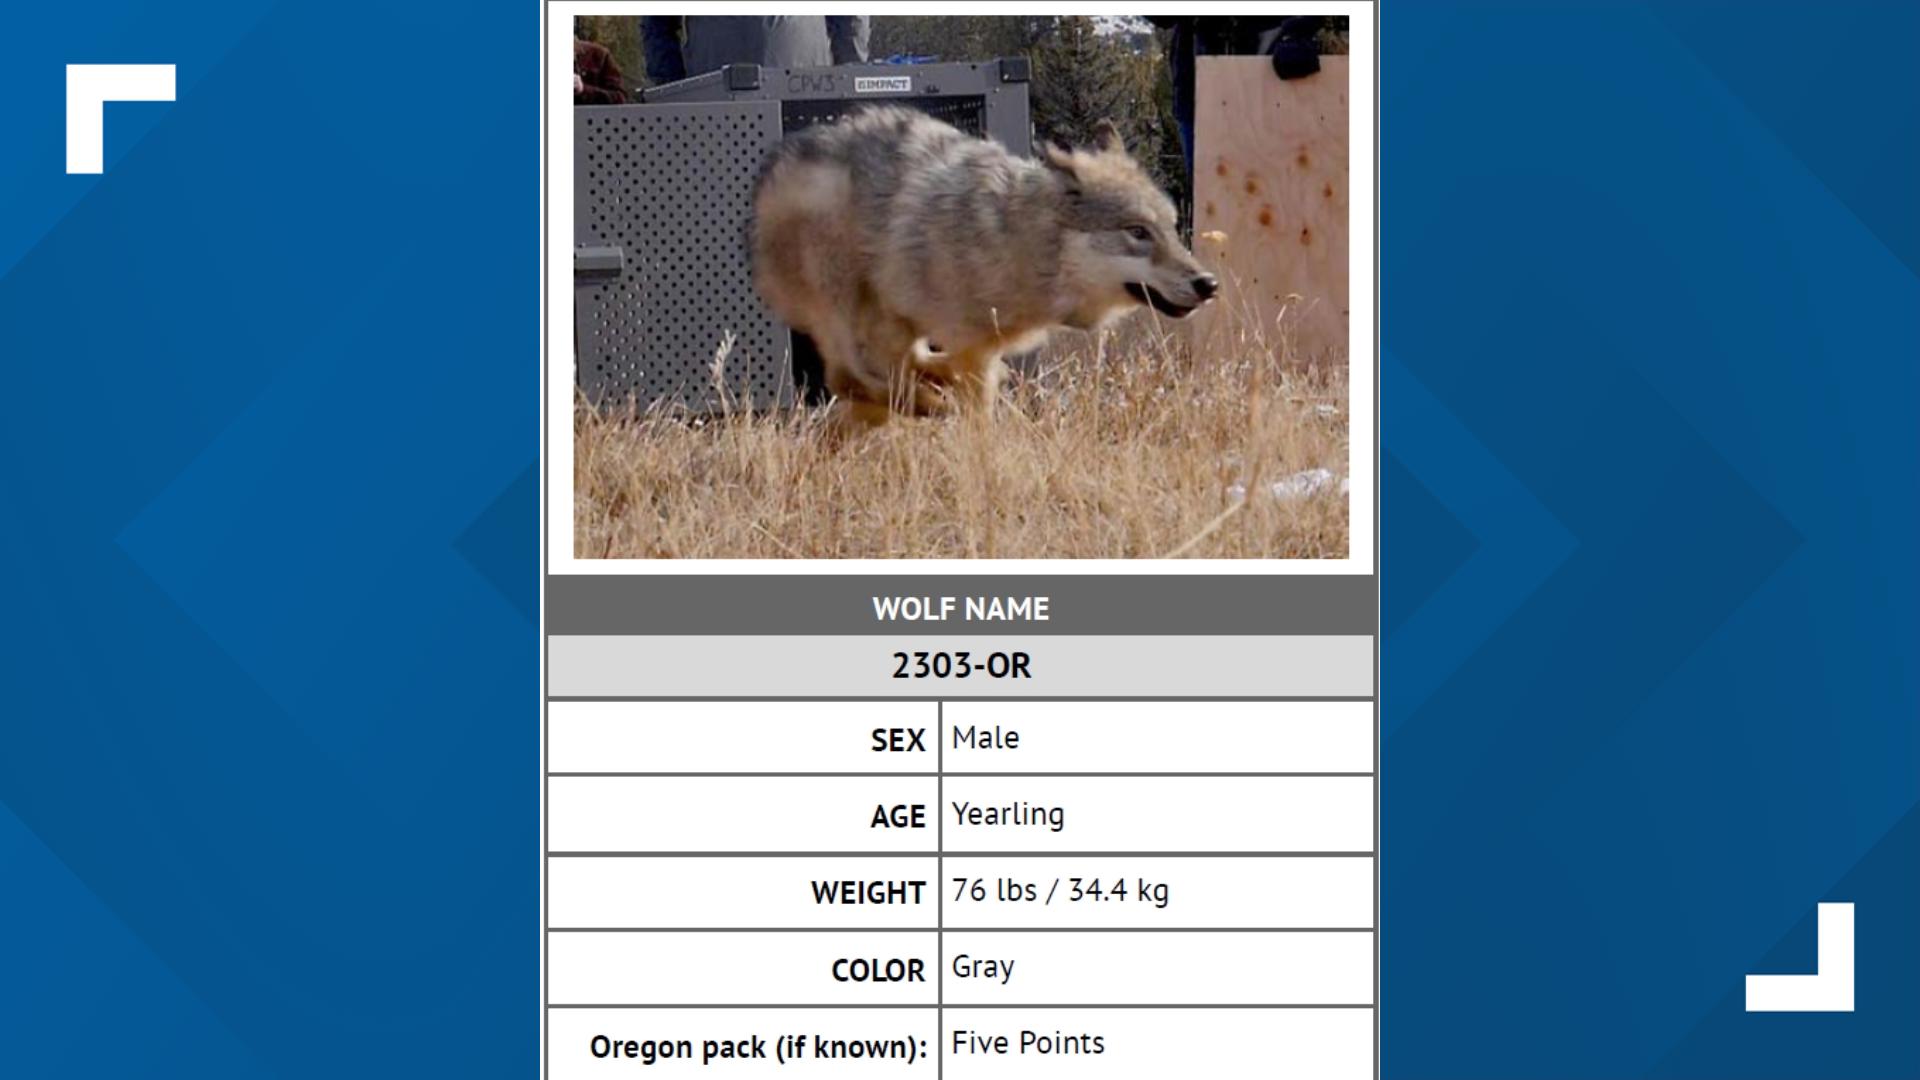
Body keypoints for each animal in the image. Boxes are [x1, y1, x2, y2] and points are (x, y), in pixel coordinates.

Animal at [752, 107, 1217, 429]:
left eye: (1172, 228)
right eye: (1138, 232)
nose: (1208, 283)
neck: (1016, 240)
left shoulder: (976, 346)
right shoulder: (964, 345)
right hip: (842, 296)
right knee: (846, 377)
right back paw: (930, 402)